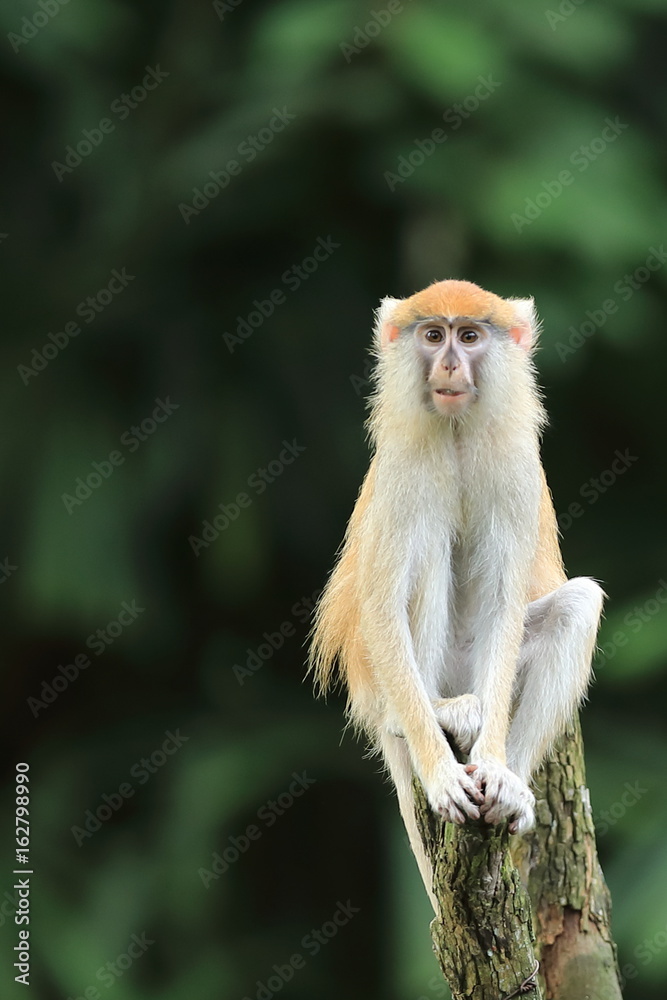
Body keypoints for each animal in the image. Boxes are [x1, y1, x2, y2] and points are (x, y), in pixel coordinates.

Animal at [309, 279, 604, 911]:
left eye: (469, 336)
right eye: (432, 334)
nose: (448, 362)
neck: (457, 432)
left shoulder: (516, 466)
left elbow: (506, 601)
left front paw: (494, 767)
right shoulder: (402, 467)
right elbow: (383, 607)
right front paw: (443, 773)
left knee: (577, 606)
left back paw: (507, 783)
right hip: (403, 685)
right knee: (426, 549)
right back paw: (430, 721)